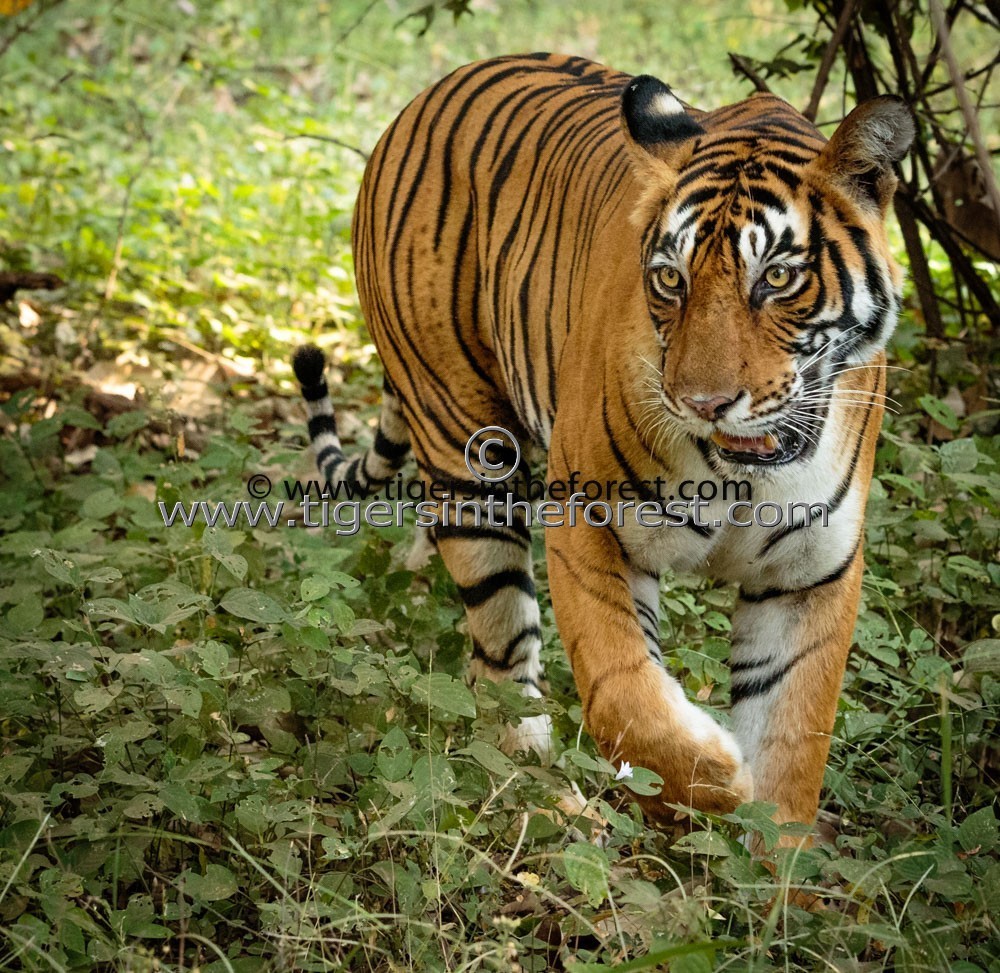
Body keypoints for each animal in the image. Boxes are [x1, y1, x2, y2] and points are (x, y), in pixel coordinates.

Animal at [292, 52, 914, 833]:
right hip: (468, 447)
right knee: (497, 647)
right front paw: (716, 778)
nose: (703, 403)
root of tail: (422, 97)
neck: (745, 477)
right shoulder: (590, 522)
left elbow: (794, 747)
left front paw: (771, 850)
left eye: (777, 277)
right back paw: (531, 773)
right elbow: (626, 696)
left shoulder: (810, 574)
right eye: (671, 279)